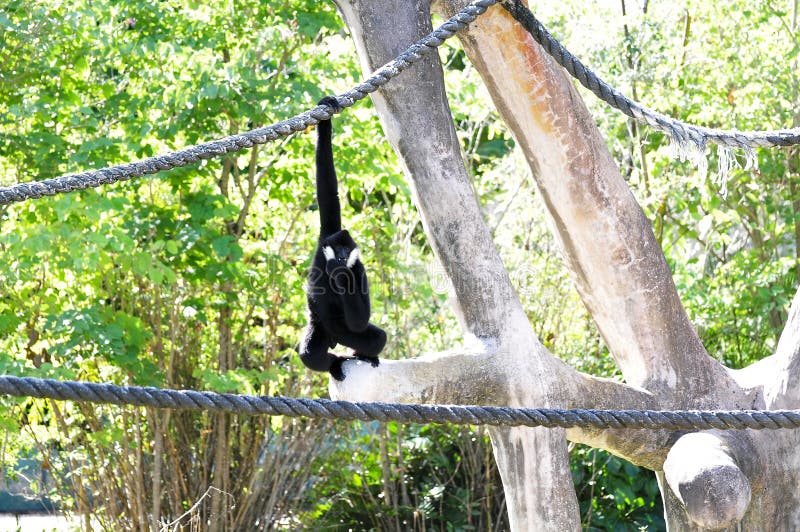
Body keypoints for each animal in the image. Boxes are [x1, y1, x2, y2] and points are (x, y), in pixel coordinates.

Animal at [298, 96, 387, 381]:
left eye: (346, 253)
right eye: (338, 249)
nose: (340, 258)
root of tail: (335, 340)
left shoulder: (359, 269)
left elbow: (360, 319)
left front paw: (340, 274)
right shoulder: (326, 235)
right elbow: (327, 191)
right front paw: (325, 118)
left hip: (346, 334)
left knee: (375, 338)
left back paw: (364, 355)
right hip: (321, 326)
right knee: (310, 353)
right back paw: (335, 363)